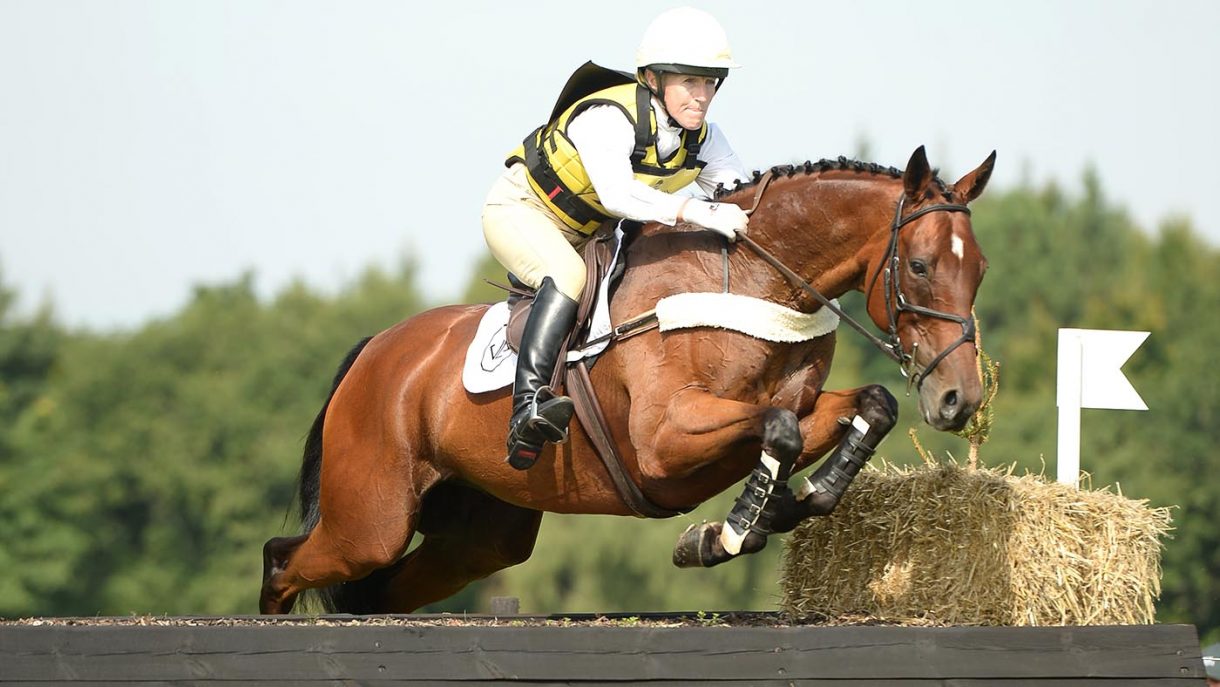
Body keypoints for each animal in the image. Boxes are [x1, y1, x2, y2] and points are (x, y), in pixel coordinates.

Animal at [260, 146, 996, 614]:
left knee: (371, 591)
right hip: (372, 520)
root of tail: (374, 353)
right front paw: (728, 533)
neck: (751, 281)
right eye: (921, 265)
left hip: (477, 536)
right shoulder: (664, 440)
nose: (958, 399)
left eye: (980, 269)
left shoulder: (793, 409)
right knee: (282, 560)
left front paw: (787, 505)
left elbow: (864, 407)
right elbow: (779, 430)